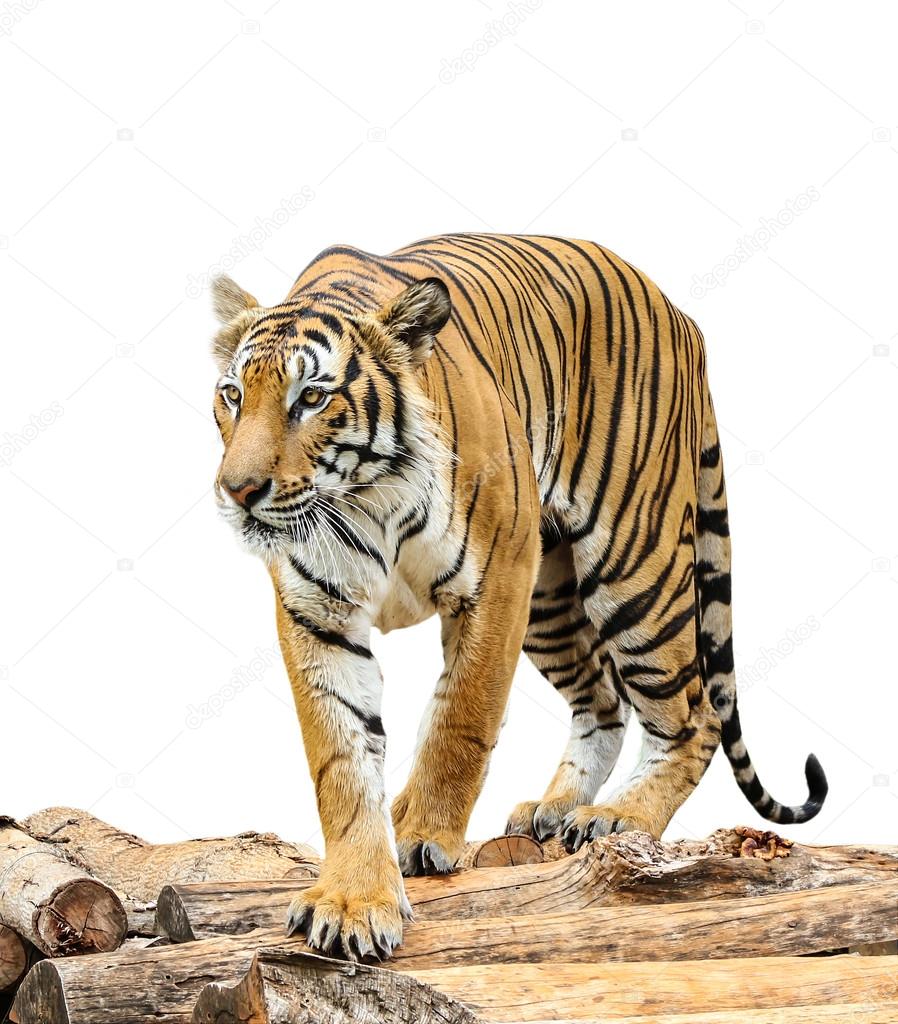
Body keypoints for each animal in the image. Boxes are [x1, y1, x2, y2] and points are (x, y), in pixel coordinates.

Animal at [209, 232, 827, 960]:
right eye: (232, 395)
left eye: (310, 398)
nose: (238, 490)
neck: (364, 496)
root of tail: (680, 315)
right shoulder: (317, 613)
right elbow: (342, 760)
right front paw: (354, 900)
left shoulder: (498, 576)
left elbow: (462, 719)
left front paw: (424, 839)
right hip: (552, 603)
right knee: (603, 701)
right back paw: (552, 808)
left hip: (633, 567)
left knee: (694, 713)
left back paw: (619, 817)